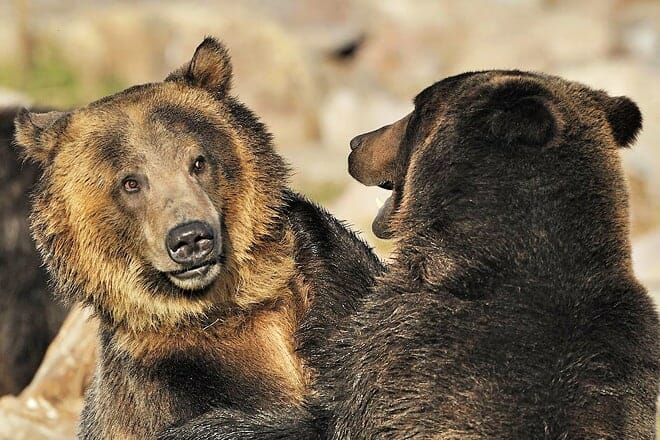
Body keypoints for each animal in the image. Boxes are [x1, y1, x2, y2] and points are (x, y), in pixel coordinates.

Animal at [14, 37, 383, 439]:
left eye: (198, 162)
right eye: (131, 182)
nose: (190, 238)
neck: (232, 307)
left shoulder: (331, 279)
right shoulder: (168, 376)